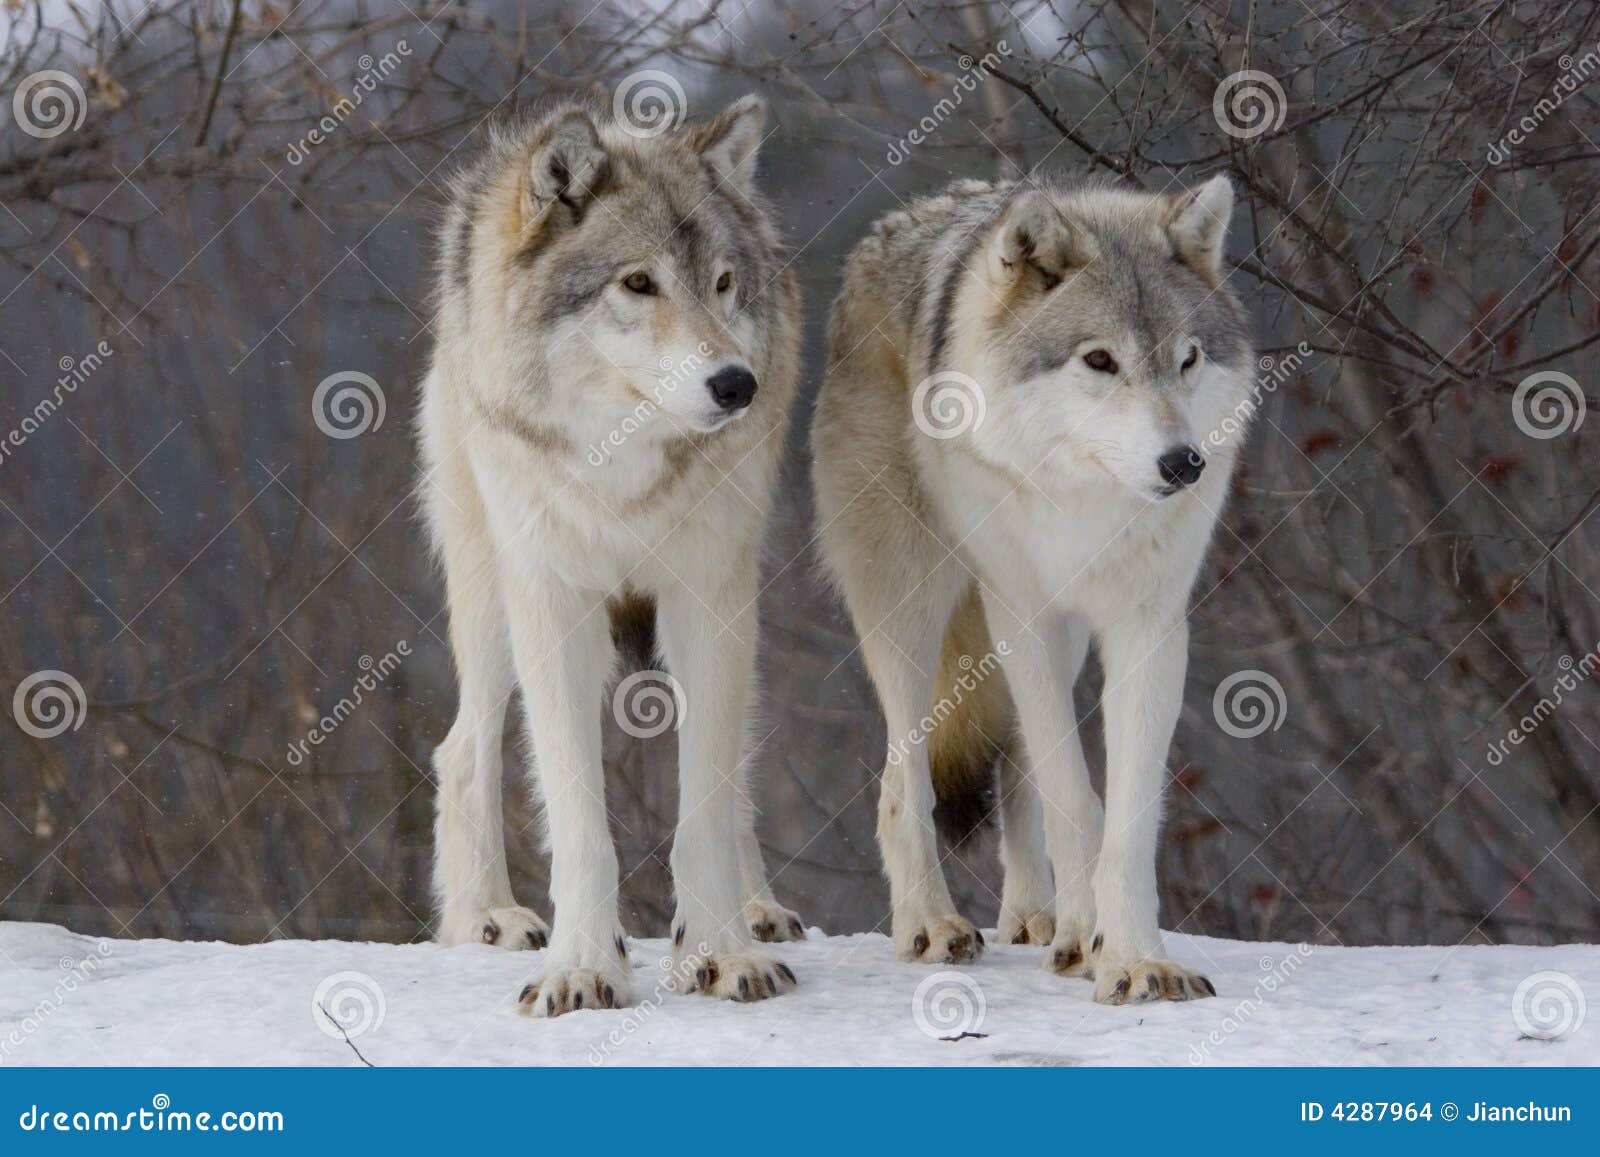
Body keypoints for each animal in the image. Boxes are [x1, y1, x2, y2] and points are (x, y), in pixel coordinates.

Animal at [418, 94, 803, 1017]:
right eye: (638, 283)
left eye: (723, 284)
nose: (737, 384)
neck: (621, 465)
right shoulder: (554, 603)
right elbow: (579, 825)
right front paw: (583, 965)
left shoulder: (709, 595)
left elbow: (705, 808)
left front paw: (723, 952)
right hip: (490, 601)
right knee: (463, 749)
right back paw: (484, 916)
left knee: (734, 776)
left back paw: (755, 909)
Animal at [812, 174, 1252, 1004]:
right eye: (1100, 359)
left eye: (1188, 358)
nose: (1183, 463)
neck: (1085, 498)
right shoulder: (1025, 613)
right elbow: (1075, 799)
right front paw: (1098, 943)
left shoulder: (1146, 626)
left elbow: (1123, 815)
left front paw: (1135, 957)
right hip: (914, 609)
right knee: (902, 784)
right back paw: (933, 923)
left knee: (1016, 770)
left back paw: (1036, 918)